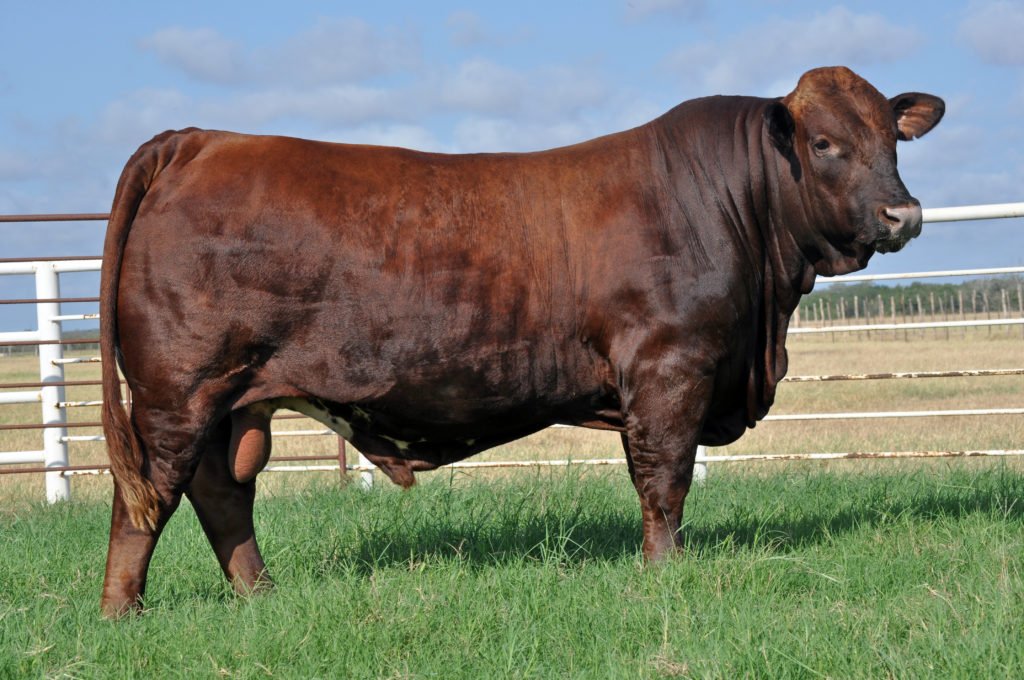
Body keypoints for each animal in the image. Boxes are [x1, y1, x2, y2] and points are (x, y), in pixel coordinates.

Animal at [99, 66, 943, 616]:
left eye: (892, 139)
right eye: (825, 143)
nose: (903, 214)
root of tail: (199, 139)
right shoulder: (671, 367)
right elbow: (664, 481)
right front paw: (664, 574)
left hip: (231, 399)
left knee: (221, 491)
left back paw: (259, 596)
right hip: (178, 390)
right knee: (148, 495)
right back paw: (122, 611)